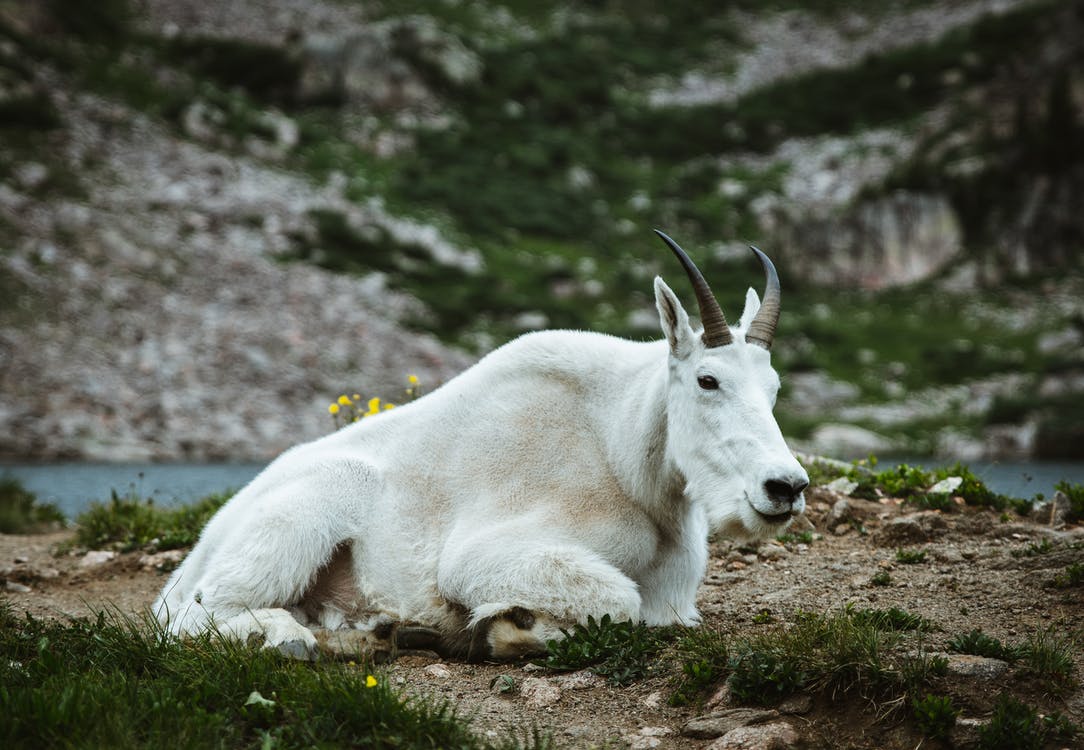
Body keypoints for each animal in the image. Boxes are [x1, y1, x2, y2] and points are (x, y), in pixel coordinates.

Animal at [154, 230, 809, 661]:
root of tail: (201, 546)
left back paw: (373, 632)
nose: (786, 487)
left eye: (775, 388)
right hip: (302, 517)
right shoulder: (480, 557)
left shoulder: (673, 601)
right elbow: (617, 600)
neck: (622, 452)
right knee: (197, 614)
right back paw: (289, 638)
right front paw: (508, 625)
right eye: (708, 380)